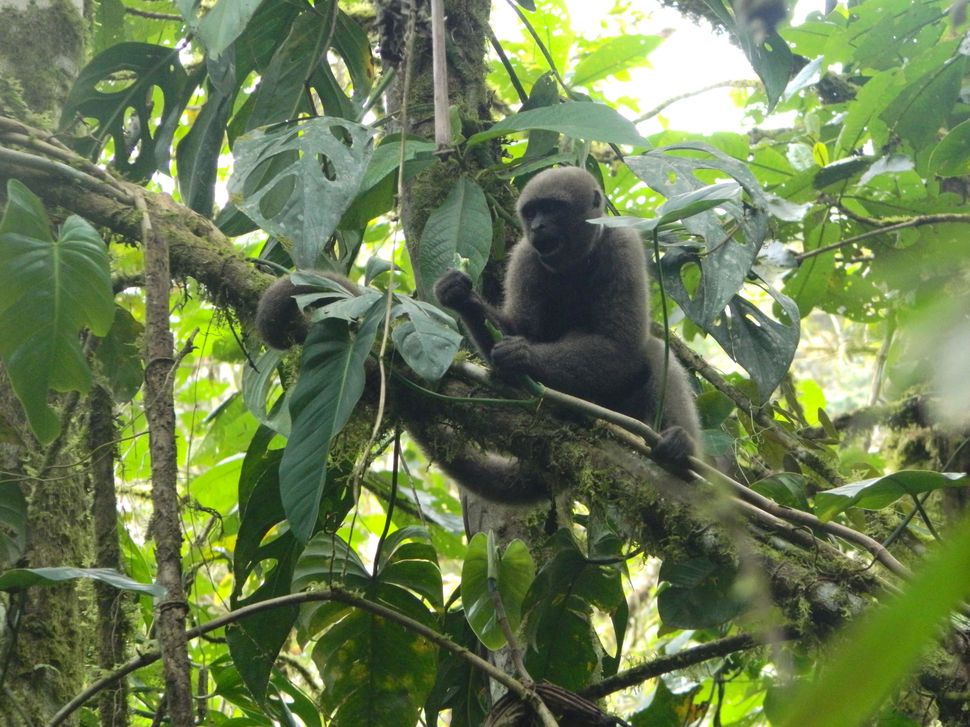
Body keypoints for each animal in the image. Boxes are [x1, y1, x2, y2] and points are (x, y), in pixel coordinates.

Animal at [432, 166, 702, 504]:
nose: (537, 226)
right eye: (531, 212)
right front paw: (461, 296)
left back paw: (680, 448)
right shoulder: (524, 256)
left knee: (652, 351)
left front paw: (523, 355)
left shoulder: (622, 242)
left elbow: (621, 345)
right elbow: (518, 328)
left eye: (553, 208)